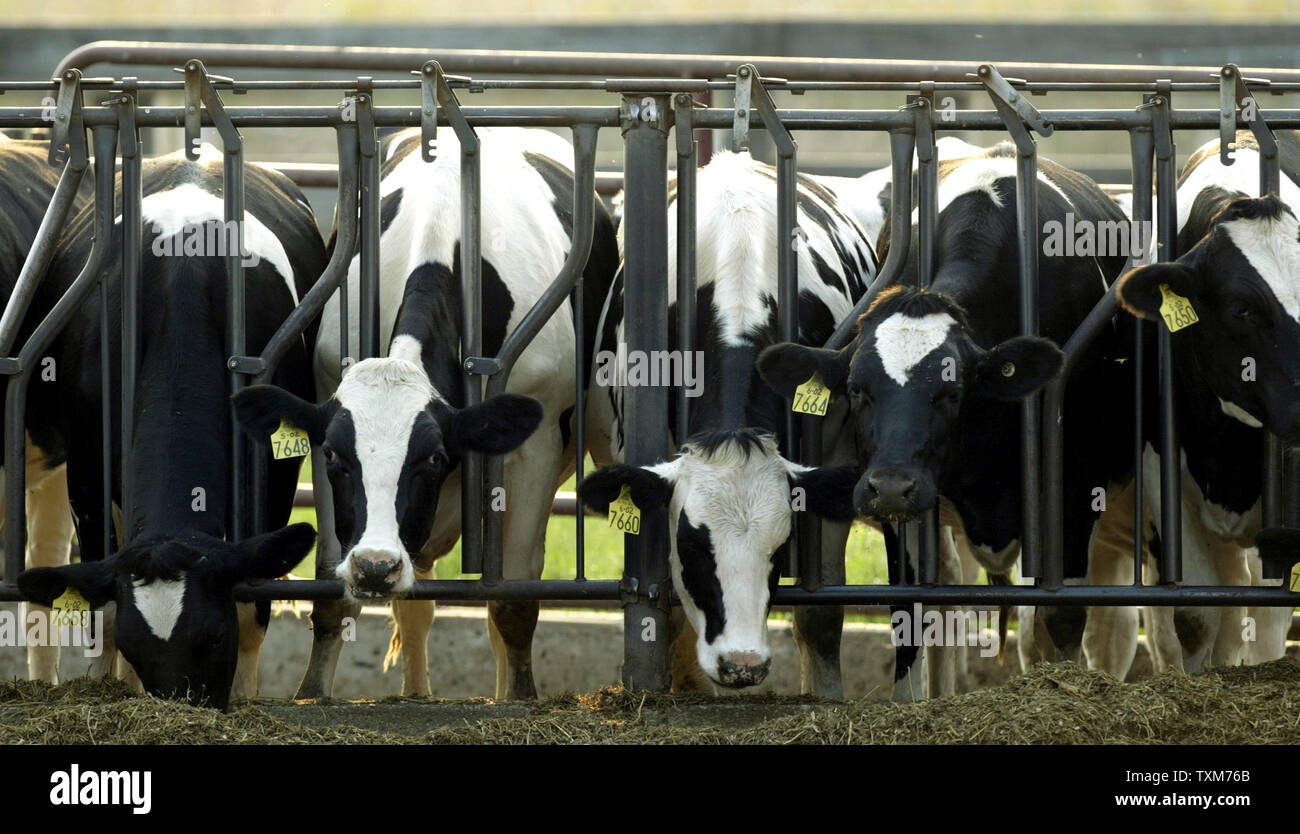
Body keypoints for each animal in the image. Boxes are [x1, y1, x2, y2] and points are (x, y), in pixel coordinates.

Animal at [16, 145, 326, 710]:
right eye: (135, 646)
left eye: (215, 637)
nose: (183, 705)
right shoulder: (87, 467)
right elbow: (101, 609)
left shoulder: (276, 470)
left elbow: (253, 604)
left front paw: (244, 695)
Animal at [232, 126, 621, 701]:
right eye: (337, 459)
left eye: (434, 458)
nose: (375, 568)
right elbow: (334, 592)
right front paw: (312, 693)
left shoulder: (536, 446)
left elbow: (513, 602)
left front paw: (518, 699)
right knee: (417, 604)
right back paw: (415, 692)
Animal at [759, 143, 1139, 694]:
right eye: (856, 390)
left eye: (951, 392)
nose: (890, 487)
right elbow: (913, 616)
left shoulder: (1074, 483)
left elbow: (1063, 617)